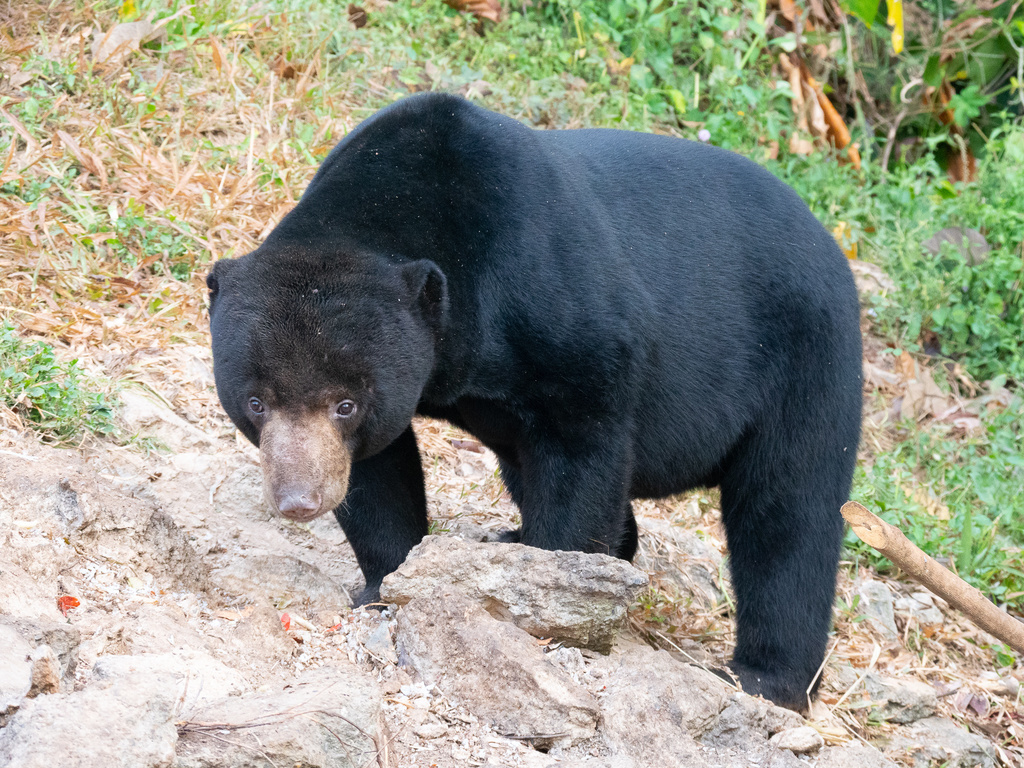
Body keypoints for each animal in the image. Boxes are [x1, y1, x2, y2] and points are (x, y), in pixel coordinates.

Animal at [207, 92, 862, 710]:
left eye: (344, 403)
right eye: (257, 402)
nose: (299, 500)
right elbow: (379, 472)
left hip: (806, 359)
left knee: (788, 511)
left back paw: (763, 676)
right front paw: (384, 586)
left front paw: (555, 595)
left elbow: (582, 452)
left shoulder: (562, 310)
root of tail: (832, 245)